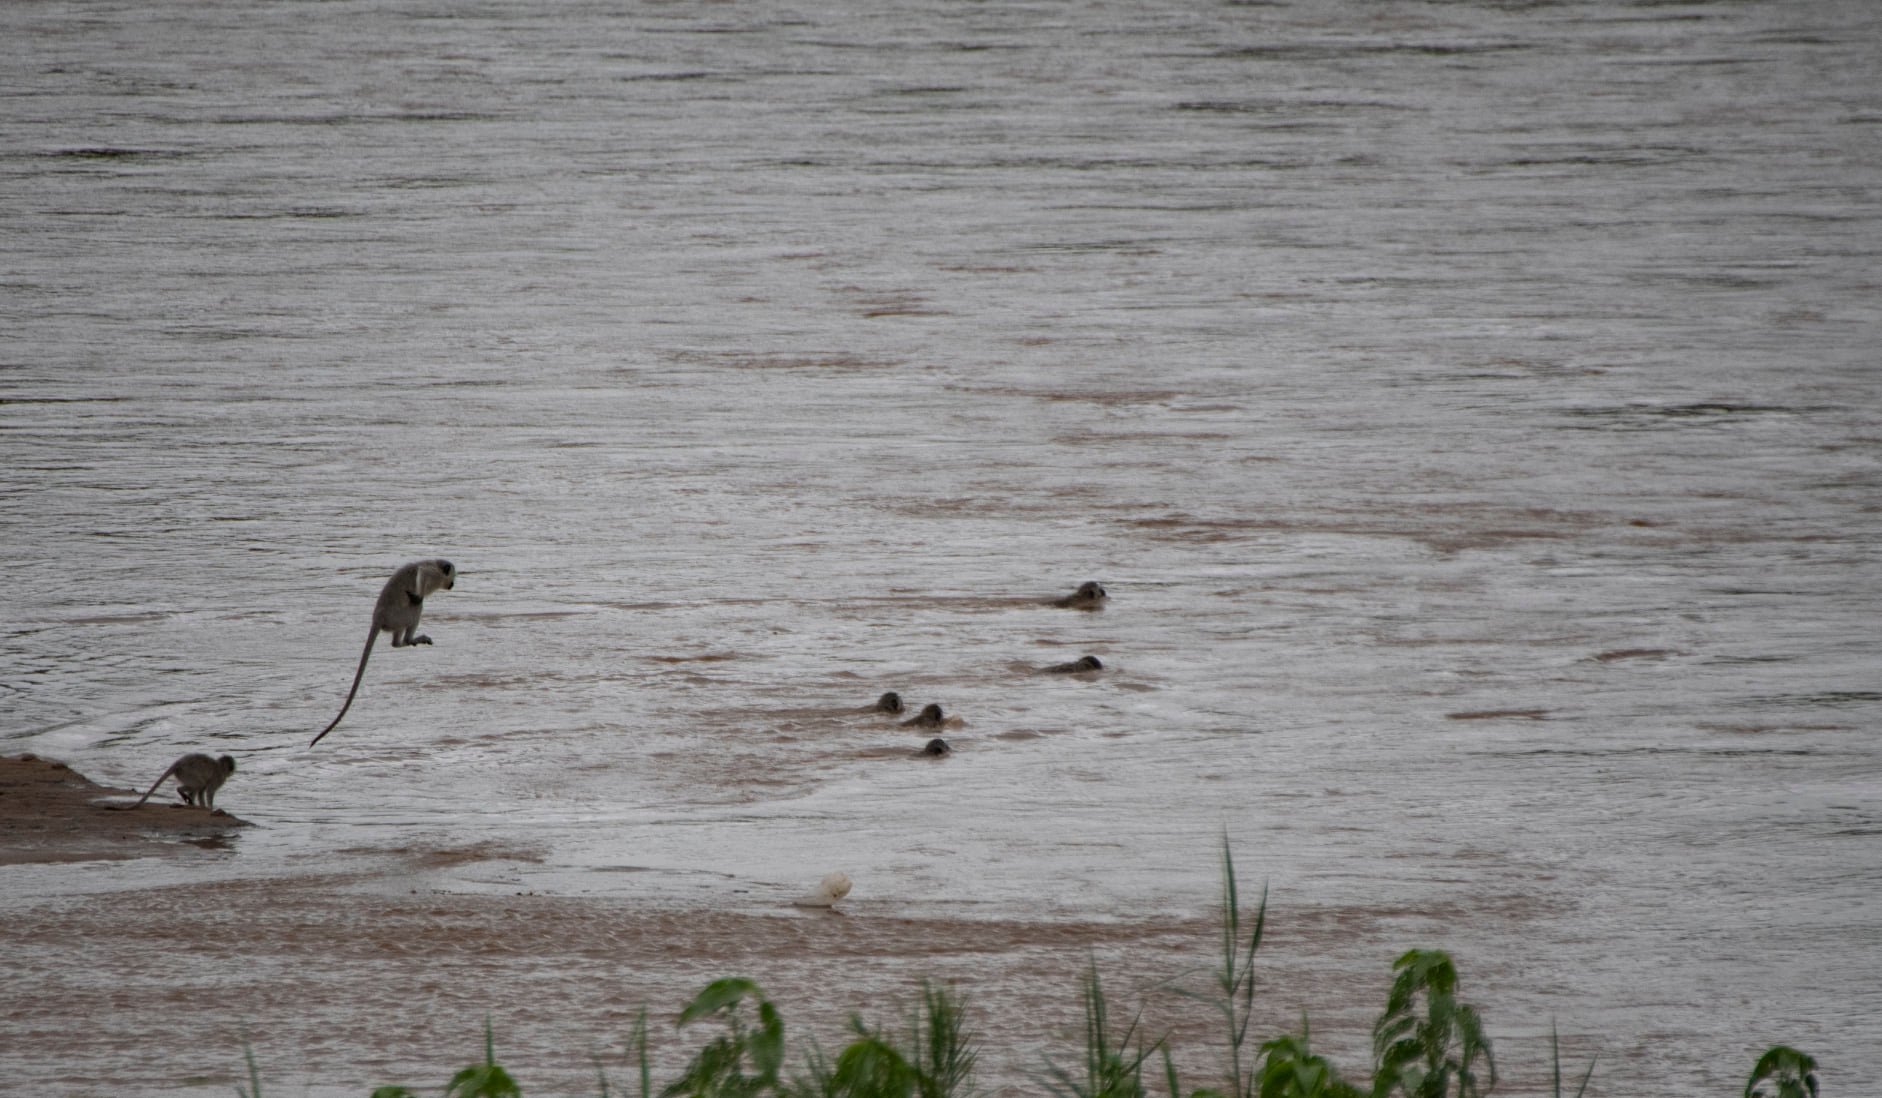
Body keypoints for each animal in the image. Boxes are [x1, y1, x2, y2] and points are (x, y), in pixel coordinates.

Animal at [311, 559, 456, 747]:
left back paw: (401, 643)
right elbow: (421, 572)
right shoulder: (431, 572)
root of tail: (378, 618)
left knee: (396, 641)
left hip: (395, 621)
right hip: (400, 615)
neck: (437, 567)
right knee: (416, 606)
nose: (453, 584)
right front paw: (418, 592)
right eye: (452, 576)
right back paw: (410, 636)